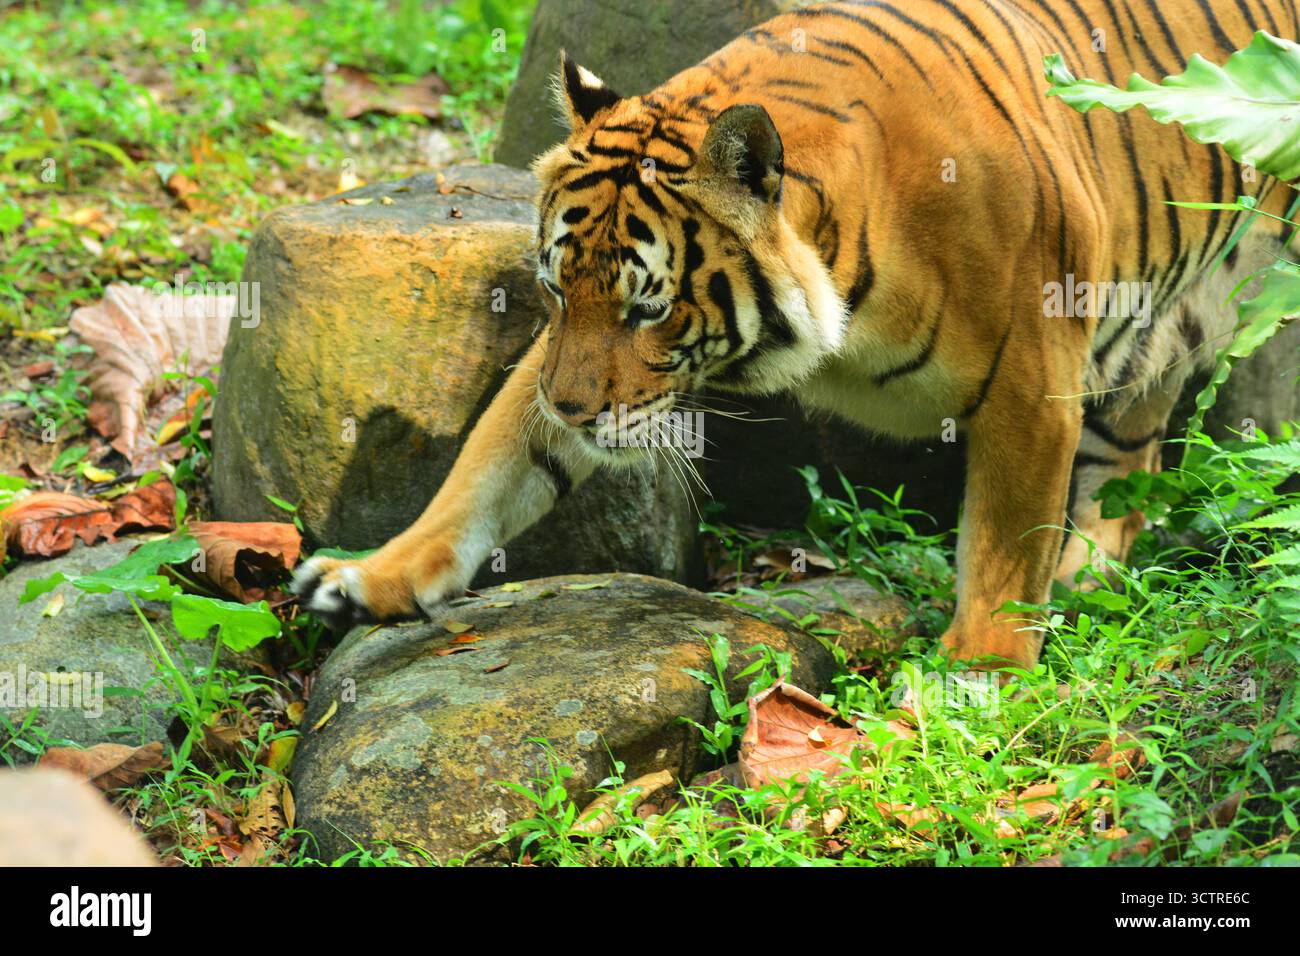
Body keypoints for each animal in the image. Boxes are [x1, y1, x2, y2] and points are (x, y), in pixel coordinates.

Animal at [292, 0, 1300, 672]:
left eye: (647, 308)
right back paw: (1089, 577)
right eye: (552, 286)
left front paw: (977, 673)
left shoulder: (1030, 377)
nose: (573, 412)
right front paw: (370, 577)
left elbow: (1005, 544)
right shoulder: (561, 367)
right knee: (1133, 456)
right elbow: (487, 470)